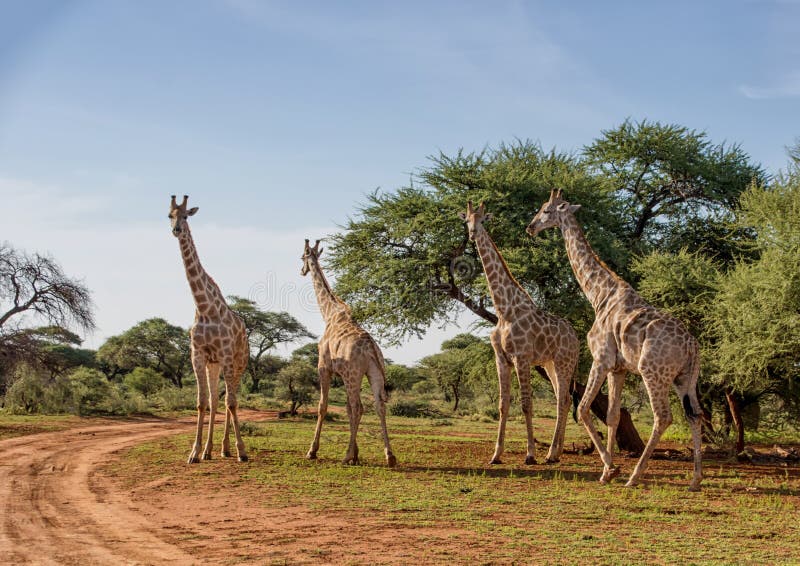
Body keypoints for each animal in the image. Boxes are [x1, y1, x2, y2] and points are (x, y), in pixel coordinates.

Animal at [168, 195, 250, 464]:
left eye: (186, 216)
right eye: (170, 215)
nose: (176, 230)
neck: (204, 306)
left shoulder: (225, 354)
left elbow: (232, 403)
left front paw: (242, 451)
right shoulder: (198, 354)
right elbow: (201, 402)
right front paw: (194, 452)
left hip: (238, 362)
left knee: (230, 401)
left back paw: (227, 448)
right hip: (214, 364)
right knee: (216, 401)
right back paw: (210, 450)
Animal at [301, 239, 397, 467]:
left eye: (301, 257)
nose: (301, 270)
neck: (329, 313)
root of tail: (371, 348)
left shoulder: (324, 368)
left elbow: (323, 406)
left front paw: (312, 451)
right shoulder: (343, 375)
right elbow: (346, 409)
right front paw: (357, 453)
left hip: (354, 374)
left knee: (359, 406)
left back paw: (346, 456)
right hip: (372, 373)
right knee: (378, 406)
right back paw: (389, 456)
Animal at [459, 202, 579, 465]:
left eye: (483, 220)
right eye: (467, 221)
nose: (472, 234)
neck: (504, 309)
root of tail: (577, 339)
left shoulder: (521, 358)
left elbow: (526, 404)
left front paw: (530, 454)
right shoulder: (501, 359)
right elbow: (503, 405)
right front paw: (496, 454)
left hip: (564, 362)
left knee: (562, 401)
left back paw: (550, 454)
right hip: (549, 364)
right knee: (563, 400)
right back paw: (556, 452)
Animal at [527, 190, 703, 491]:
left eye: (546, 210)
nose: (531, 227)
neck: (599, 295)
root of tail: (692, 346)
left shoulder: (601, 360)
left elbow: (584, 408)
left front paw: (612, 469)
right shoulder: (618, 368)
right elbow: (613, 415)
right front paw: (605, 471)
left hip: (653, 372)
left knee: (663, 416)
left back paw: (635, 477)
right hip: (684, 379)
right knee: (695, 415)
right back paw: (695, 479)